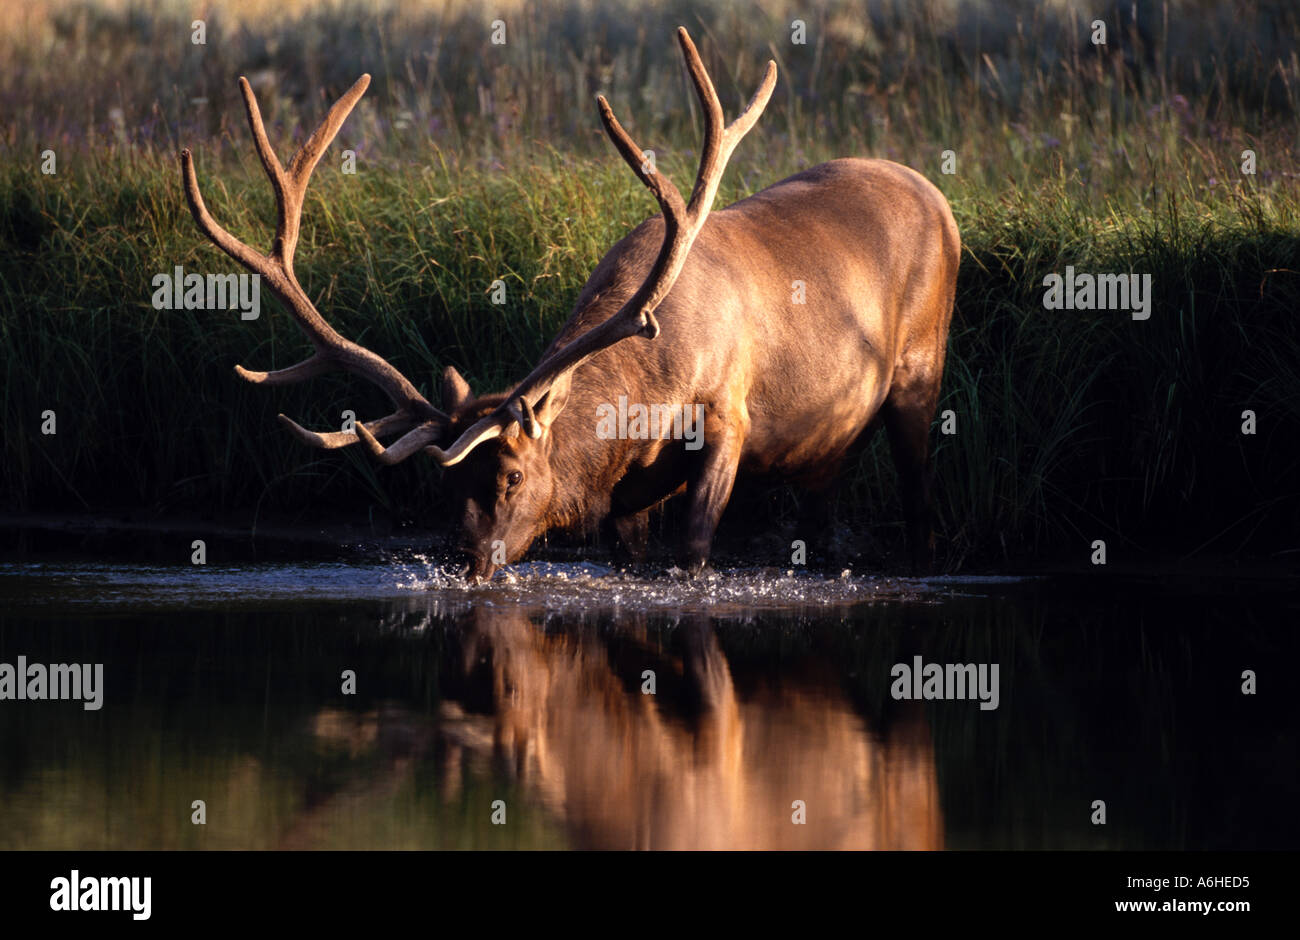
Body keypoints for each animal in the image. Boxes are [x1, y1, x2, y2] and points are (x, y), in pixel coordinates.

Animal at [179, 28, 960, 582]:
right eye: (444, 485)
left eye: (513, 474)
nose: (467, 562)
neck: (646, 395)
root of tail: (937, 195)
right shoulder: (626, 491)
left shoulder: (728, 418)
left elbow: (695, 552)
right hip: (828, 448)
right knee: (826, 516)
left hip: (920, 373)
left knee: (923, 506)